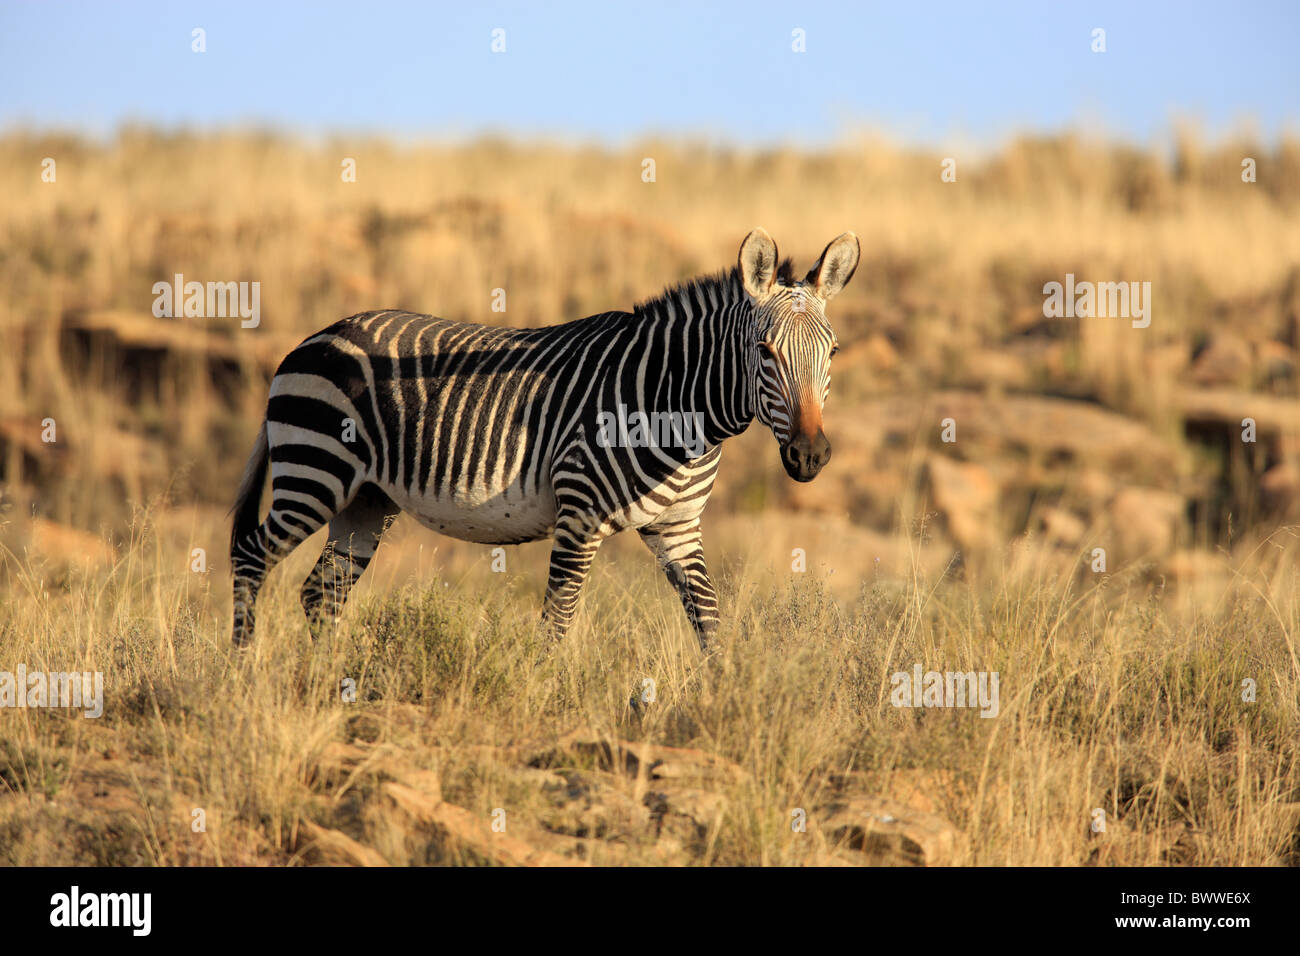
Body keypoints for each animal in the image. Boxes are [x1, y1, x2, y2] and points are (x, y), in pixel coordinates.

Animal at [229, 228, 859, 651]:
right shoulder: (579, 517)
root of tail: (315, 336)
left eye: (831, 353)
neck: (676, 407)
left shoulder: (678, 528)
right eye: (765, 352)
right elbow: (556, 627)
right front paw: (545, 703)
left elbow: (709, 622)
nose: (809, 456)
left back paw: (334, 686)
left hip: (366, 500)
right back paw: (242, 674)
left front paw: (720, 702)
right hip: (315, 471)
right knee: (251, 557)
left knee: (321, 593)